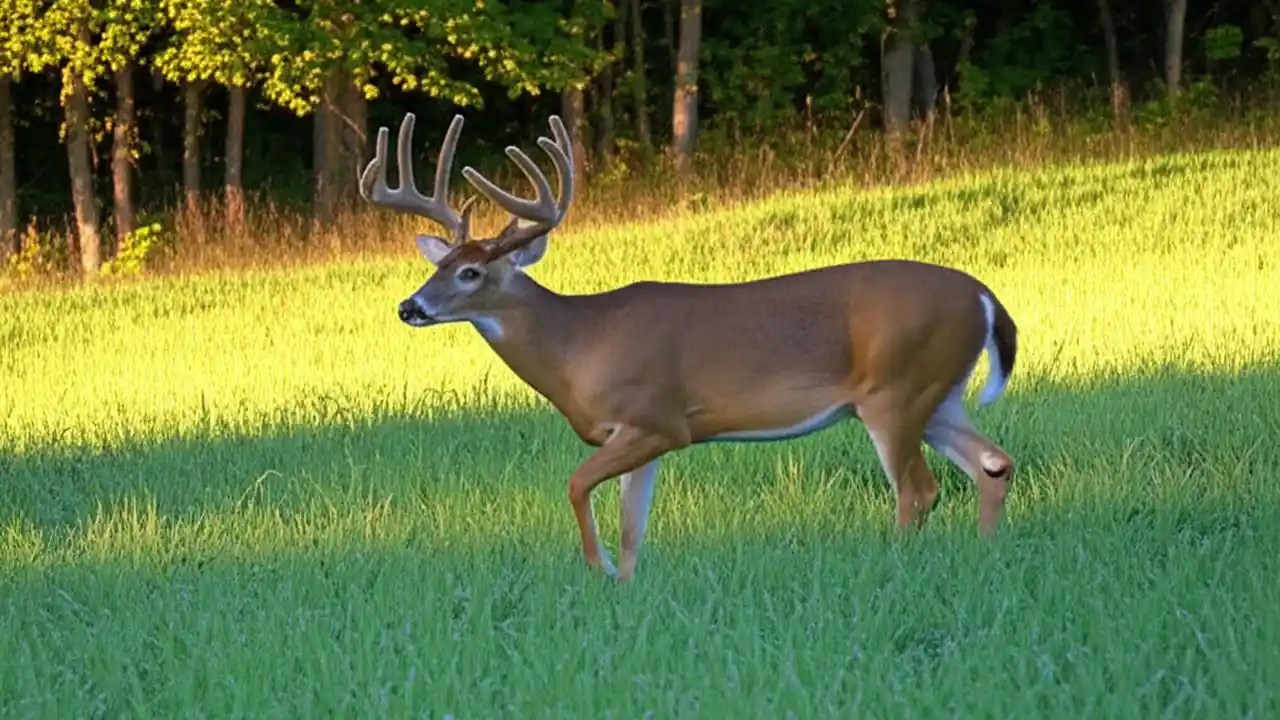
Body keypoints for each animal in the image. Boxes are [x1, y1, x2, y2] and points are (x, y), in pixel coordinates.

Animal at [359, 112, 1019, 582]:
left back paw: (899, 565)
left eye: (471, 273)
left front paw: (597, 570)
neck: (579, 345)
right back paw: (985, 557)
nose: (409, 307)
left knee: (920, 491)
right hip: (938, 393)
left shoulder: (658, 420)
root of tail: (985, 295)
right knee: (993, 465)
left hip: (895, 391)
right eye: (439, 264)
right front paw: (624, 586)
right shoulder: (635, 438)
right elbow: (633, 528)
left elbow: (576, 486)